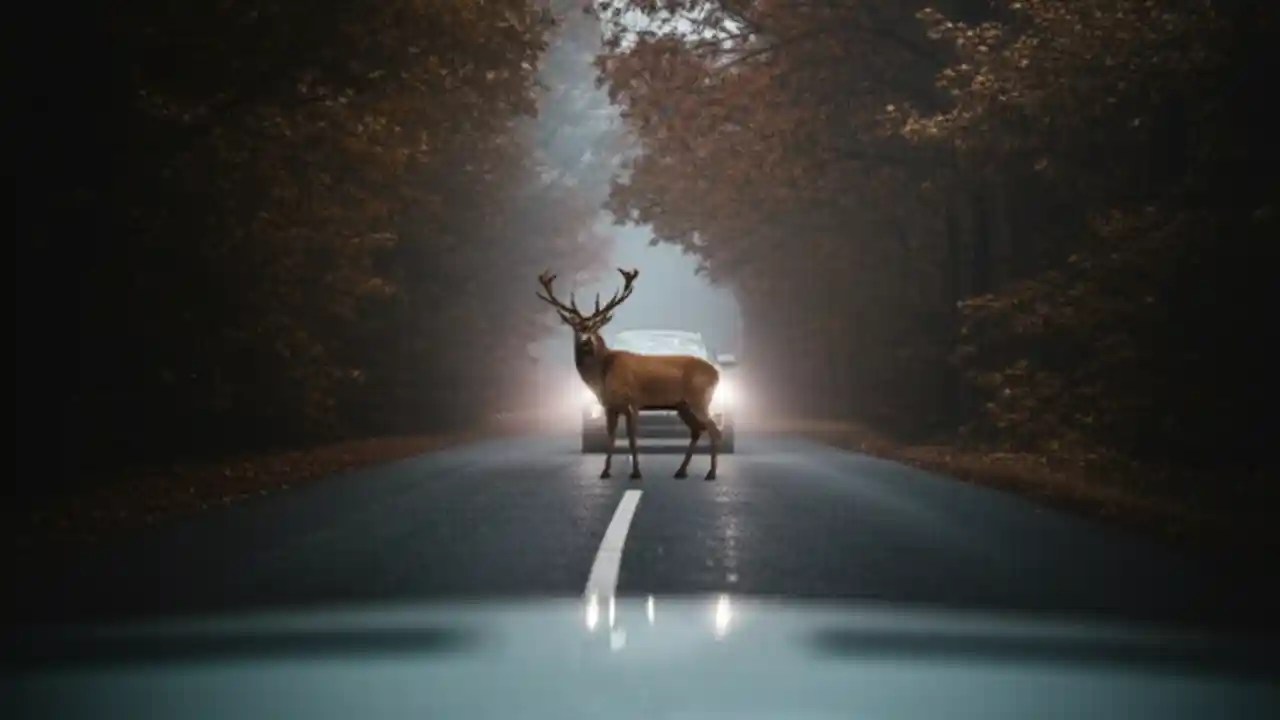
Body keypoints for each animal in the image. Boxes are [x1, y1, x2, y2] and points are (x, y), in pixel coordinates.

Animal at [536, 267, 724, 481]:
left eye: (596, 326)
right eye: (576, 328)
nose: (586, 341)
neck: (602, 376)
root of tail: (716, 373)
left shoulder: (632, 402)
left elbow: (632, 438)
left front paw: (636, 472)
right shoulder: (609, 406)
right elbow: (610, 437)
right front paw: (605, 471)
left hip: (699, 398)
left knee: (714, 430)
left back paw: (711, 473)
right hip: (682, 405)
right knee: (697, 430)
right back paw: (681, 471)